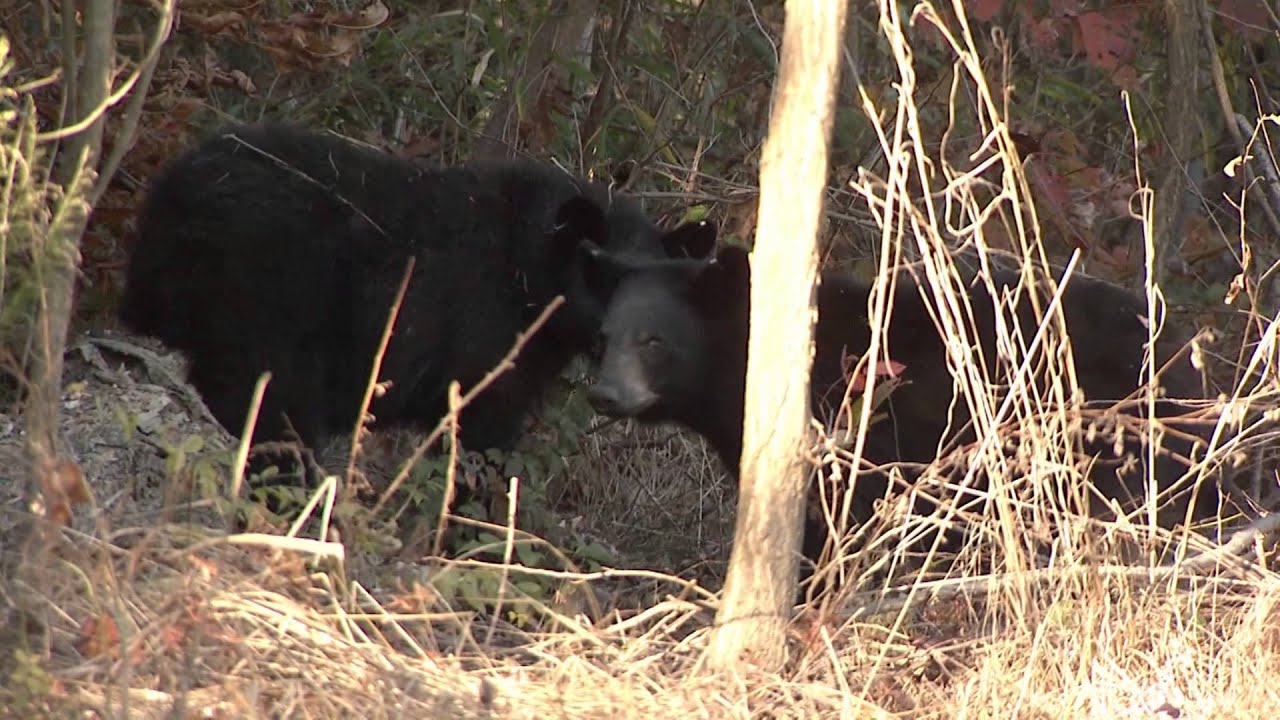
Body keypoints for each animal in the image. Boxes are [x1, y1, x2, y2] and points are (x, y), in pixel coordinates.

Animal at [119, 123, 717, 479]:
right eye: (601, 274)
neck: (533, 275)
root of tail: (174, 197)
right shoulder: (485, 344)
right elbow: (480, 446)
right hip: (264, 305)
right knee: (270, 403)